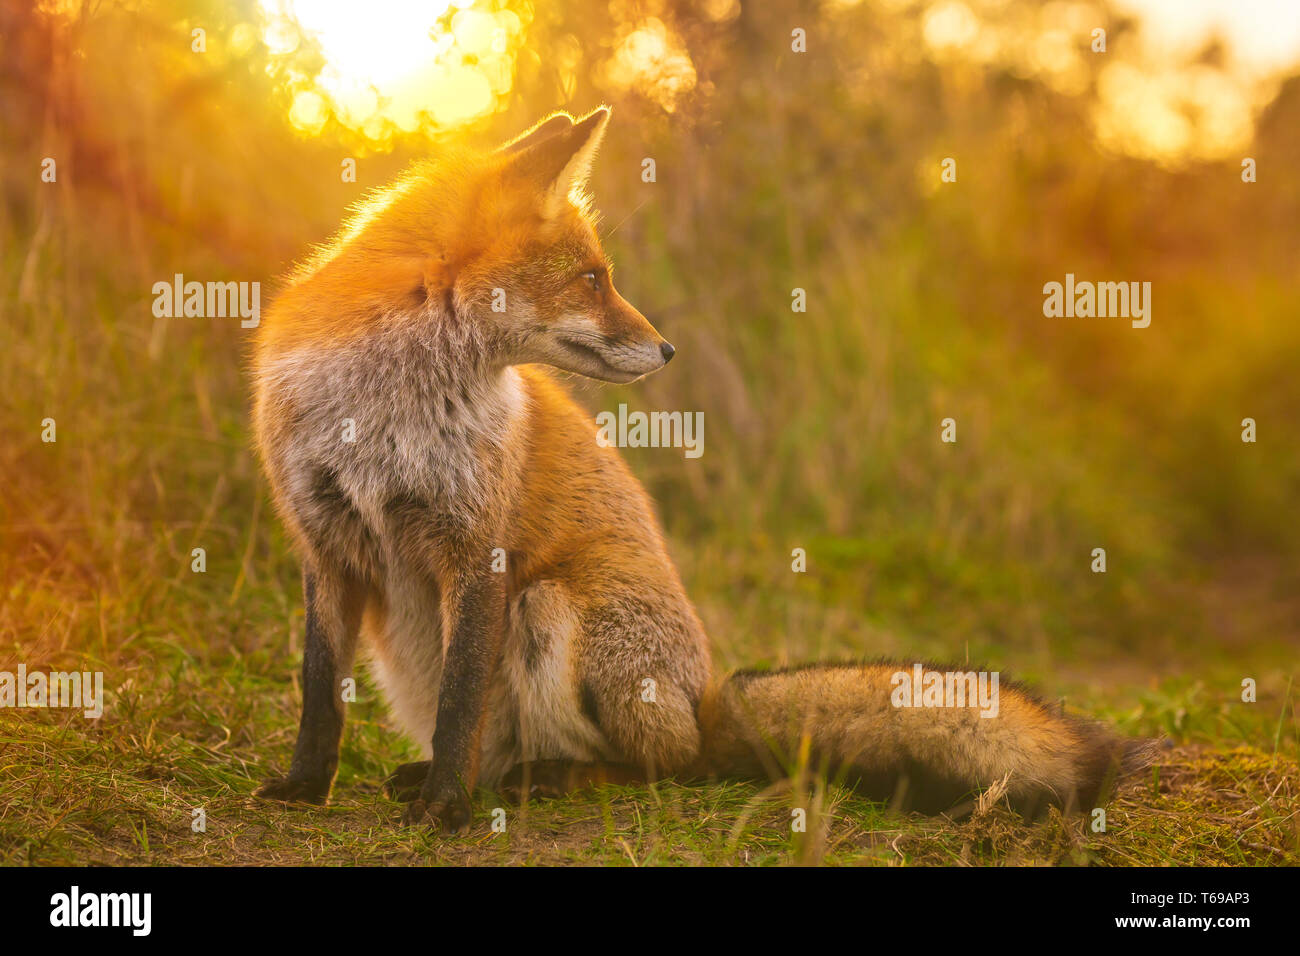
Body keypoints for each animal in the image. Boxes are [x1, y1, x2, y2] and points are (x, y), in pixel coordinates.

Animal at [251, 107, 1151, 831]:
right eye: (591, 279)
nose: (669, 349)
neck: (388, 399)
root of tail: (707, 698)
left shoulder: (479, 551)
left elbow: (460, 704)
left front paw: (446, 809)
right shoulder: (322, 541)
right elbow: (320, 693)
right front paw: (306, 788)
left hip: (556, 606)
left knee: (661, 766)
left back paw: (547, 779)